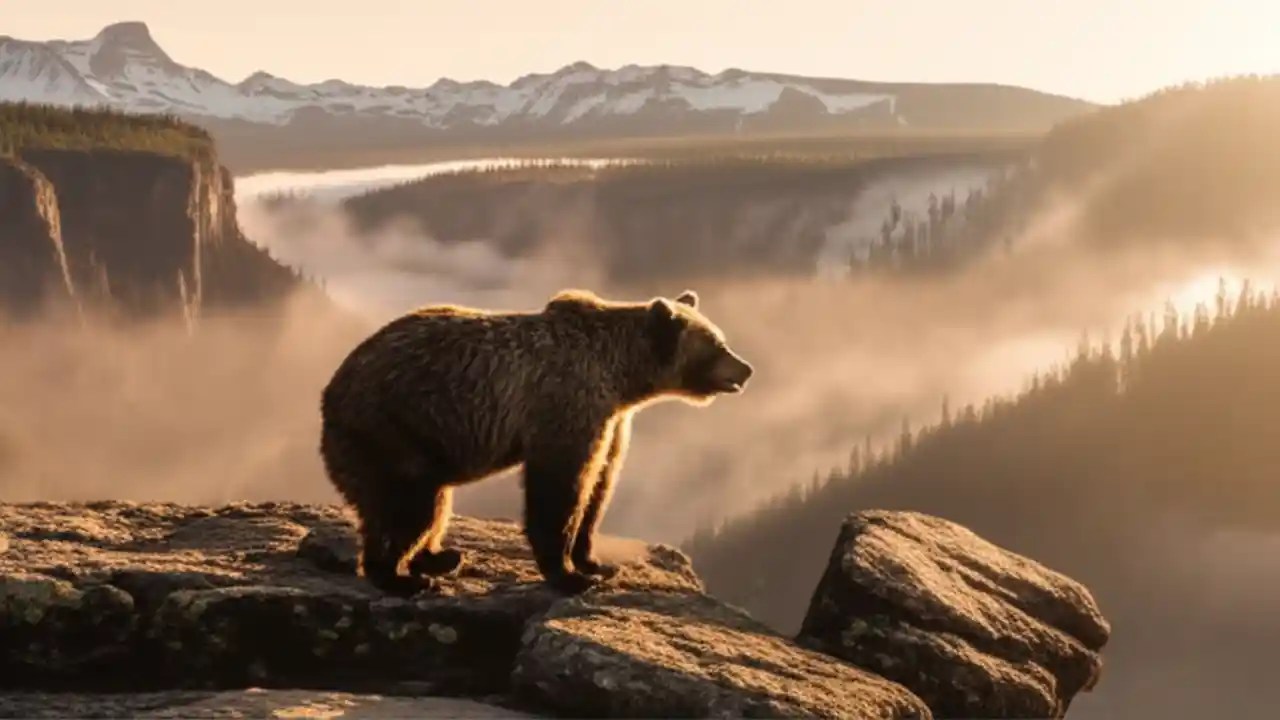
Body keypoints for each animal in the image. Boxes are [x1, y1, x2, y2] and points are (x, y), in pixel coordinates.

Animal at [318, 288, 754, 596]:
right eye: (717, 344)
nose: (746, 369)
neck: (621, 377)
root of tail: (330, 395)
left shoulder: (612, 421)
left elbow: (599, 485)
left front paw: (594, 561)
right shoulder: (566, 403)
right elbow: (560, 486)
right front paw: (569, 575)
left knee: (431, 504)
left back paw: (438, 557)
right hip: (394, 431)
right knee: (409, 506)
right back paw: (399, 576)